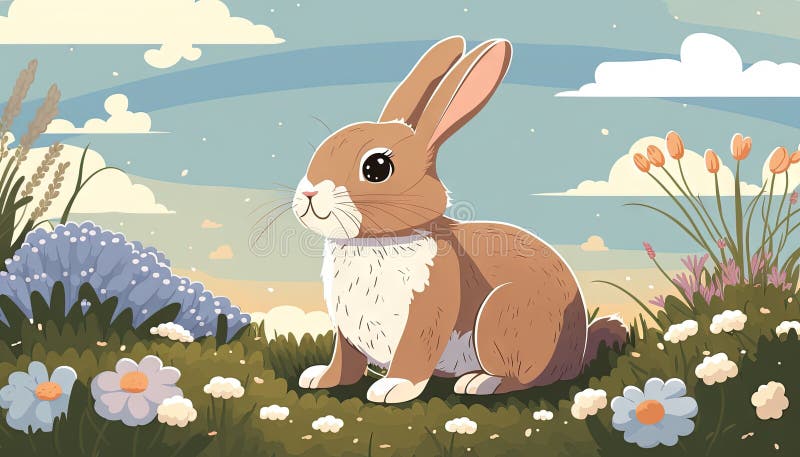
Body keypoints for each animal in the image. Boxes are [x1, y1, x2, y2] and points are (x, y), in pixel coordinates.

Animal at [292, 36, 627, 404]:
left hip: (502, 317)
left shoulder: (428, 312)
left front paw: (393, 388)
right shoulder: (345, 328)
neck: (375, 242)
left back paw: (479, 382)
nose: (309, 194)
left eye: (377, 167)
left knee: (527, 378)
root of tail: (575, 351)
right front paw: (320, 378)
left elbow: (413, 356)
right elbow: (345, 361)